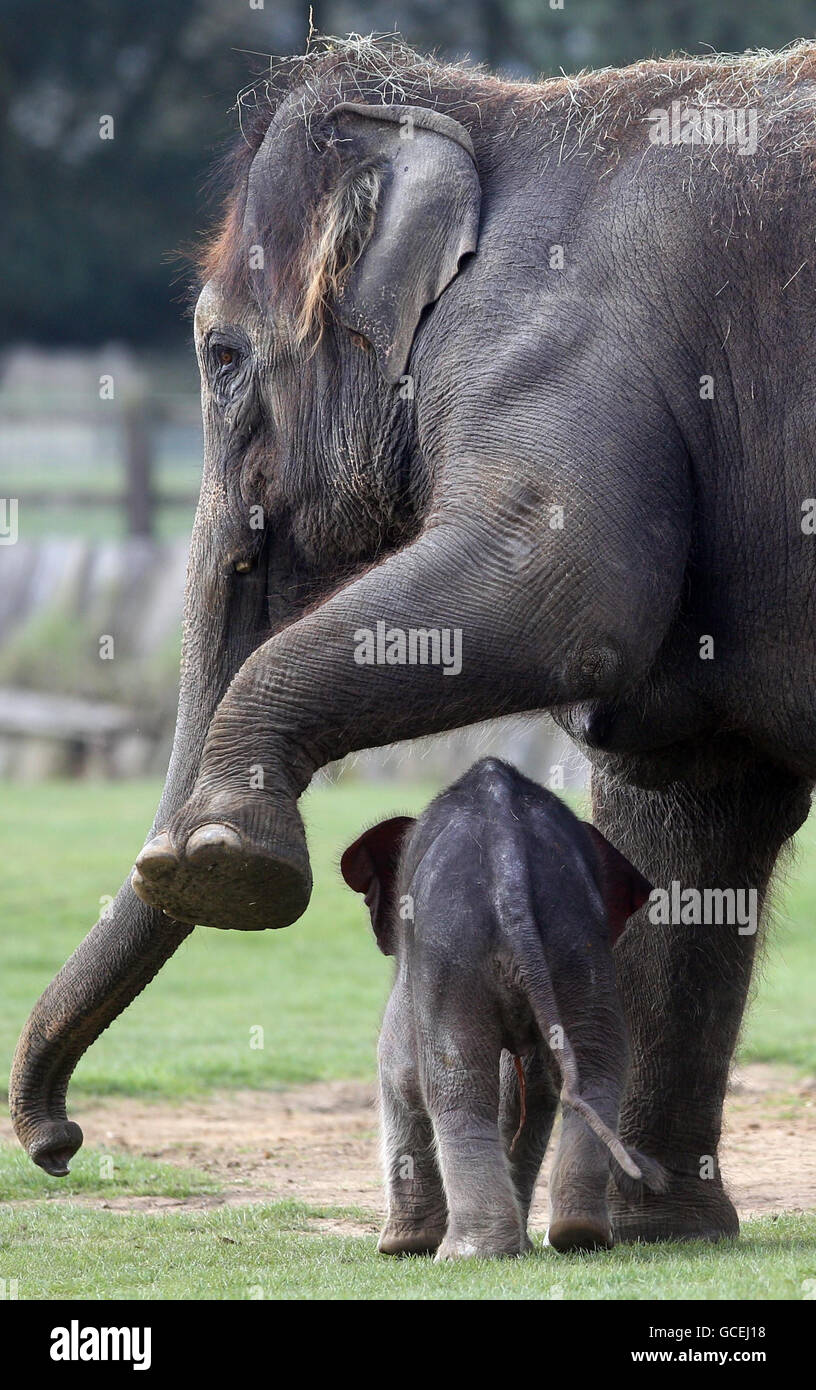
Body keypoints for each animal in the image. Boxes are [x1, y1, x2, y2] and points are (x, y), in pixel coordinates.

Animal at [340, 757, 666, 1259]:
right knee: (595, 1068)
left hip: (452, 950)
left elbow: (399, 1070)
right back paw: (578, 1234)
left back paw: (467, 1253)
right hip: (576, 948)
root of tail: (508, 855)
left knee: (458, 1083)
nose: (654, 1181)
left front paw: (401, 1246)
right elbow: (529, 1087)